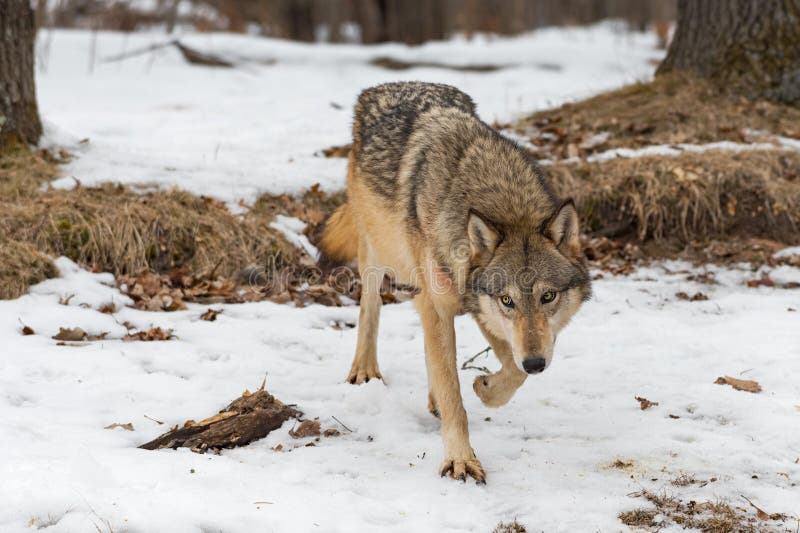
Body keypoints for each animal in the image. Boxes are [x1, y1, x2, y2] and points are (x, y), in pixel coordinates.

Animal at [321, 81, 591, 483]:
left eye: (548, 297)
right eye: (508, 300)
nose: (537, 363)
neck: (502, 202)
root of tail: (390, 85)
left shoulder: (480, 308)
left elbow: (511, 372)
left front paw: (486, 387)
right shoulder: (446, 305)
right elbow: (453, 394)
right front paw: (461, 460)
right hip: (379, 253)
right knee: (371, 307)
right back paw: (365, 369)